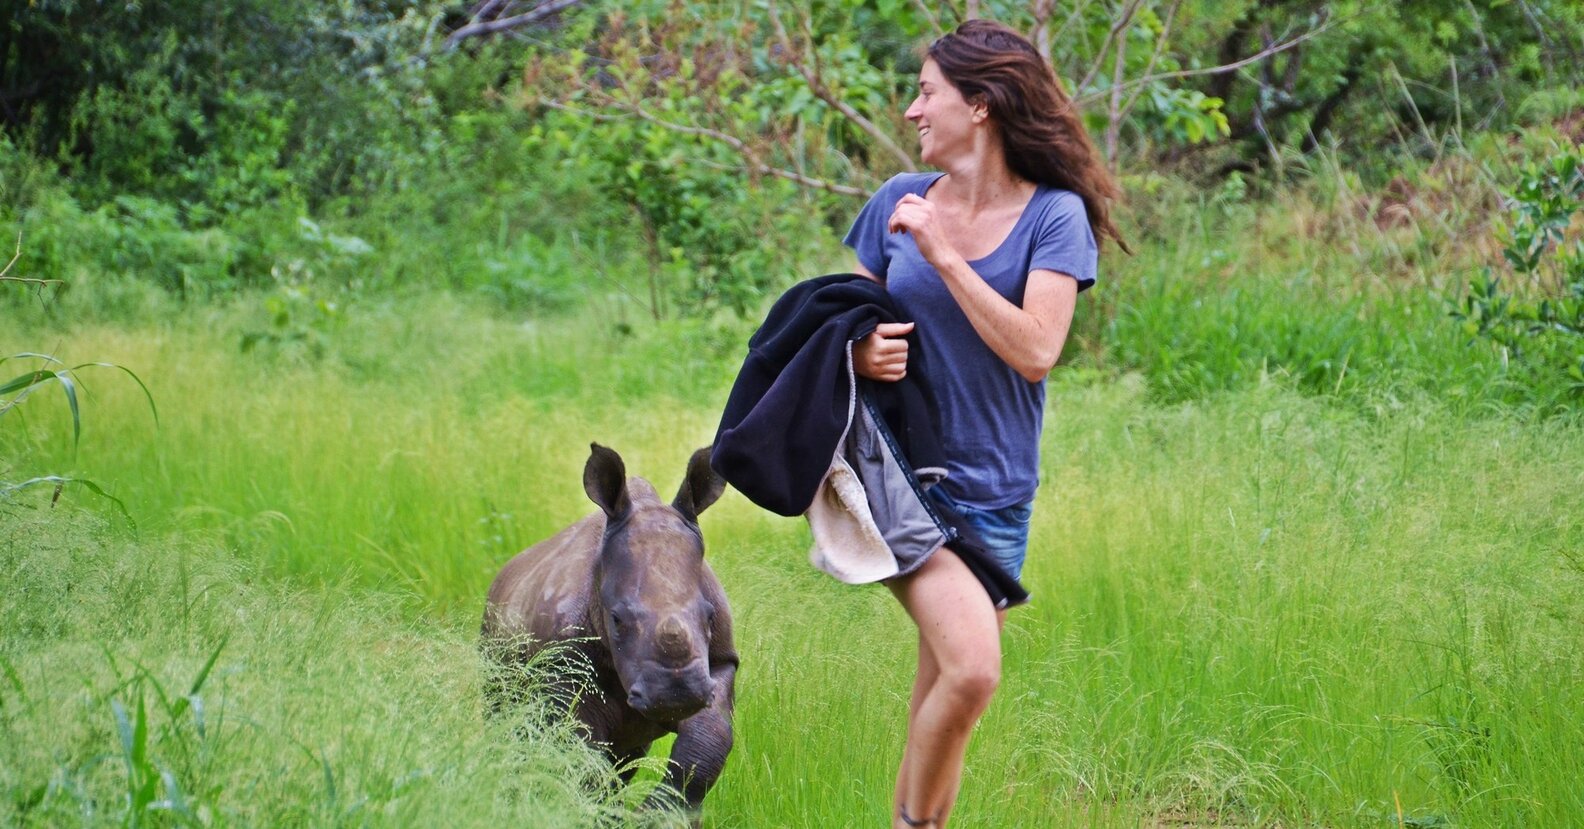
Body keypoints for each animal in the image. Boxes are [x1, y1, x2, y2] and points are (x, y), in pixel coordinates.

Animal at [482, 443, 736, 816]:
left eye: (709, 617)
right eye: (616, 619)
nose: (675, 695)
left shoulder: (720, 662)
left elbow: (707, 742)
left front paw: (660, 815)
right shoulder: (562, 662)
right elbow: (580, 759)